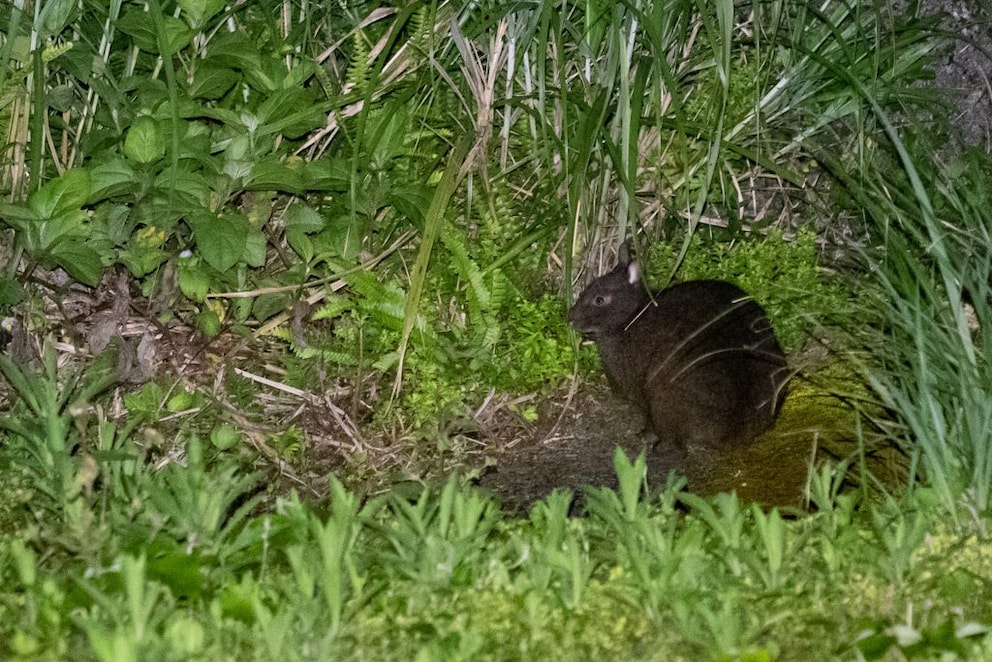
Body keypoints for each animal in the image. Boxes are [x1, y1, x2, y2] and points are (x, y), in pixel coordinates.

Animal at [568, 242, 789, 457]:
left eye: (600, 299)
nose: (571, 318)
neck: (632, 317)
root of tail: (734, 430)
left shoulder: (642, 394)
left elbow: (649, 419)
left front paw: (644, 435)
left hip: (663, 394)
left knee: (676, 443)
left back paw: (659, 448)